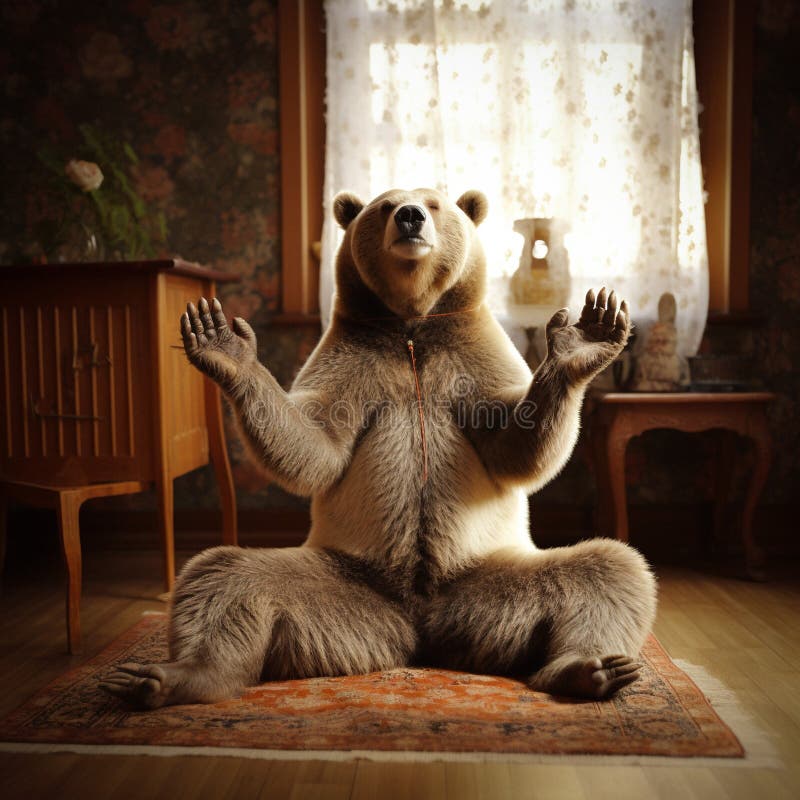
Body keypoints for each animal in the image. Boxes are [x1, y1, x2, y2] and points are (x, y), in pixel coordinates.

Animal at [99, 188, 657, 709]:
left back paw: (592, 667)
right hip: (344, 582)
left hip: (485, 579)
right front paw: (223, 344)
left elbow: (514, 446)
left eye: (435, 203)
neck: (411, 326)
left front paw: (587, 334)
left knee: (607, 571)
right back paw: (170, 676)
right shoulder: (351, 362)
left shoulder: (472, 360)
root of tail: (418, 629)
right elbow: (317, 446)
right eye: (385, 206)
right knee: (222, 577)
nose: (410, 216)